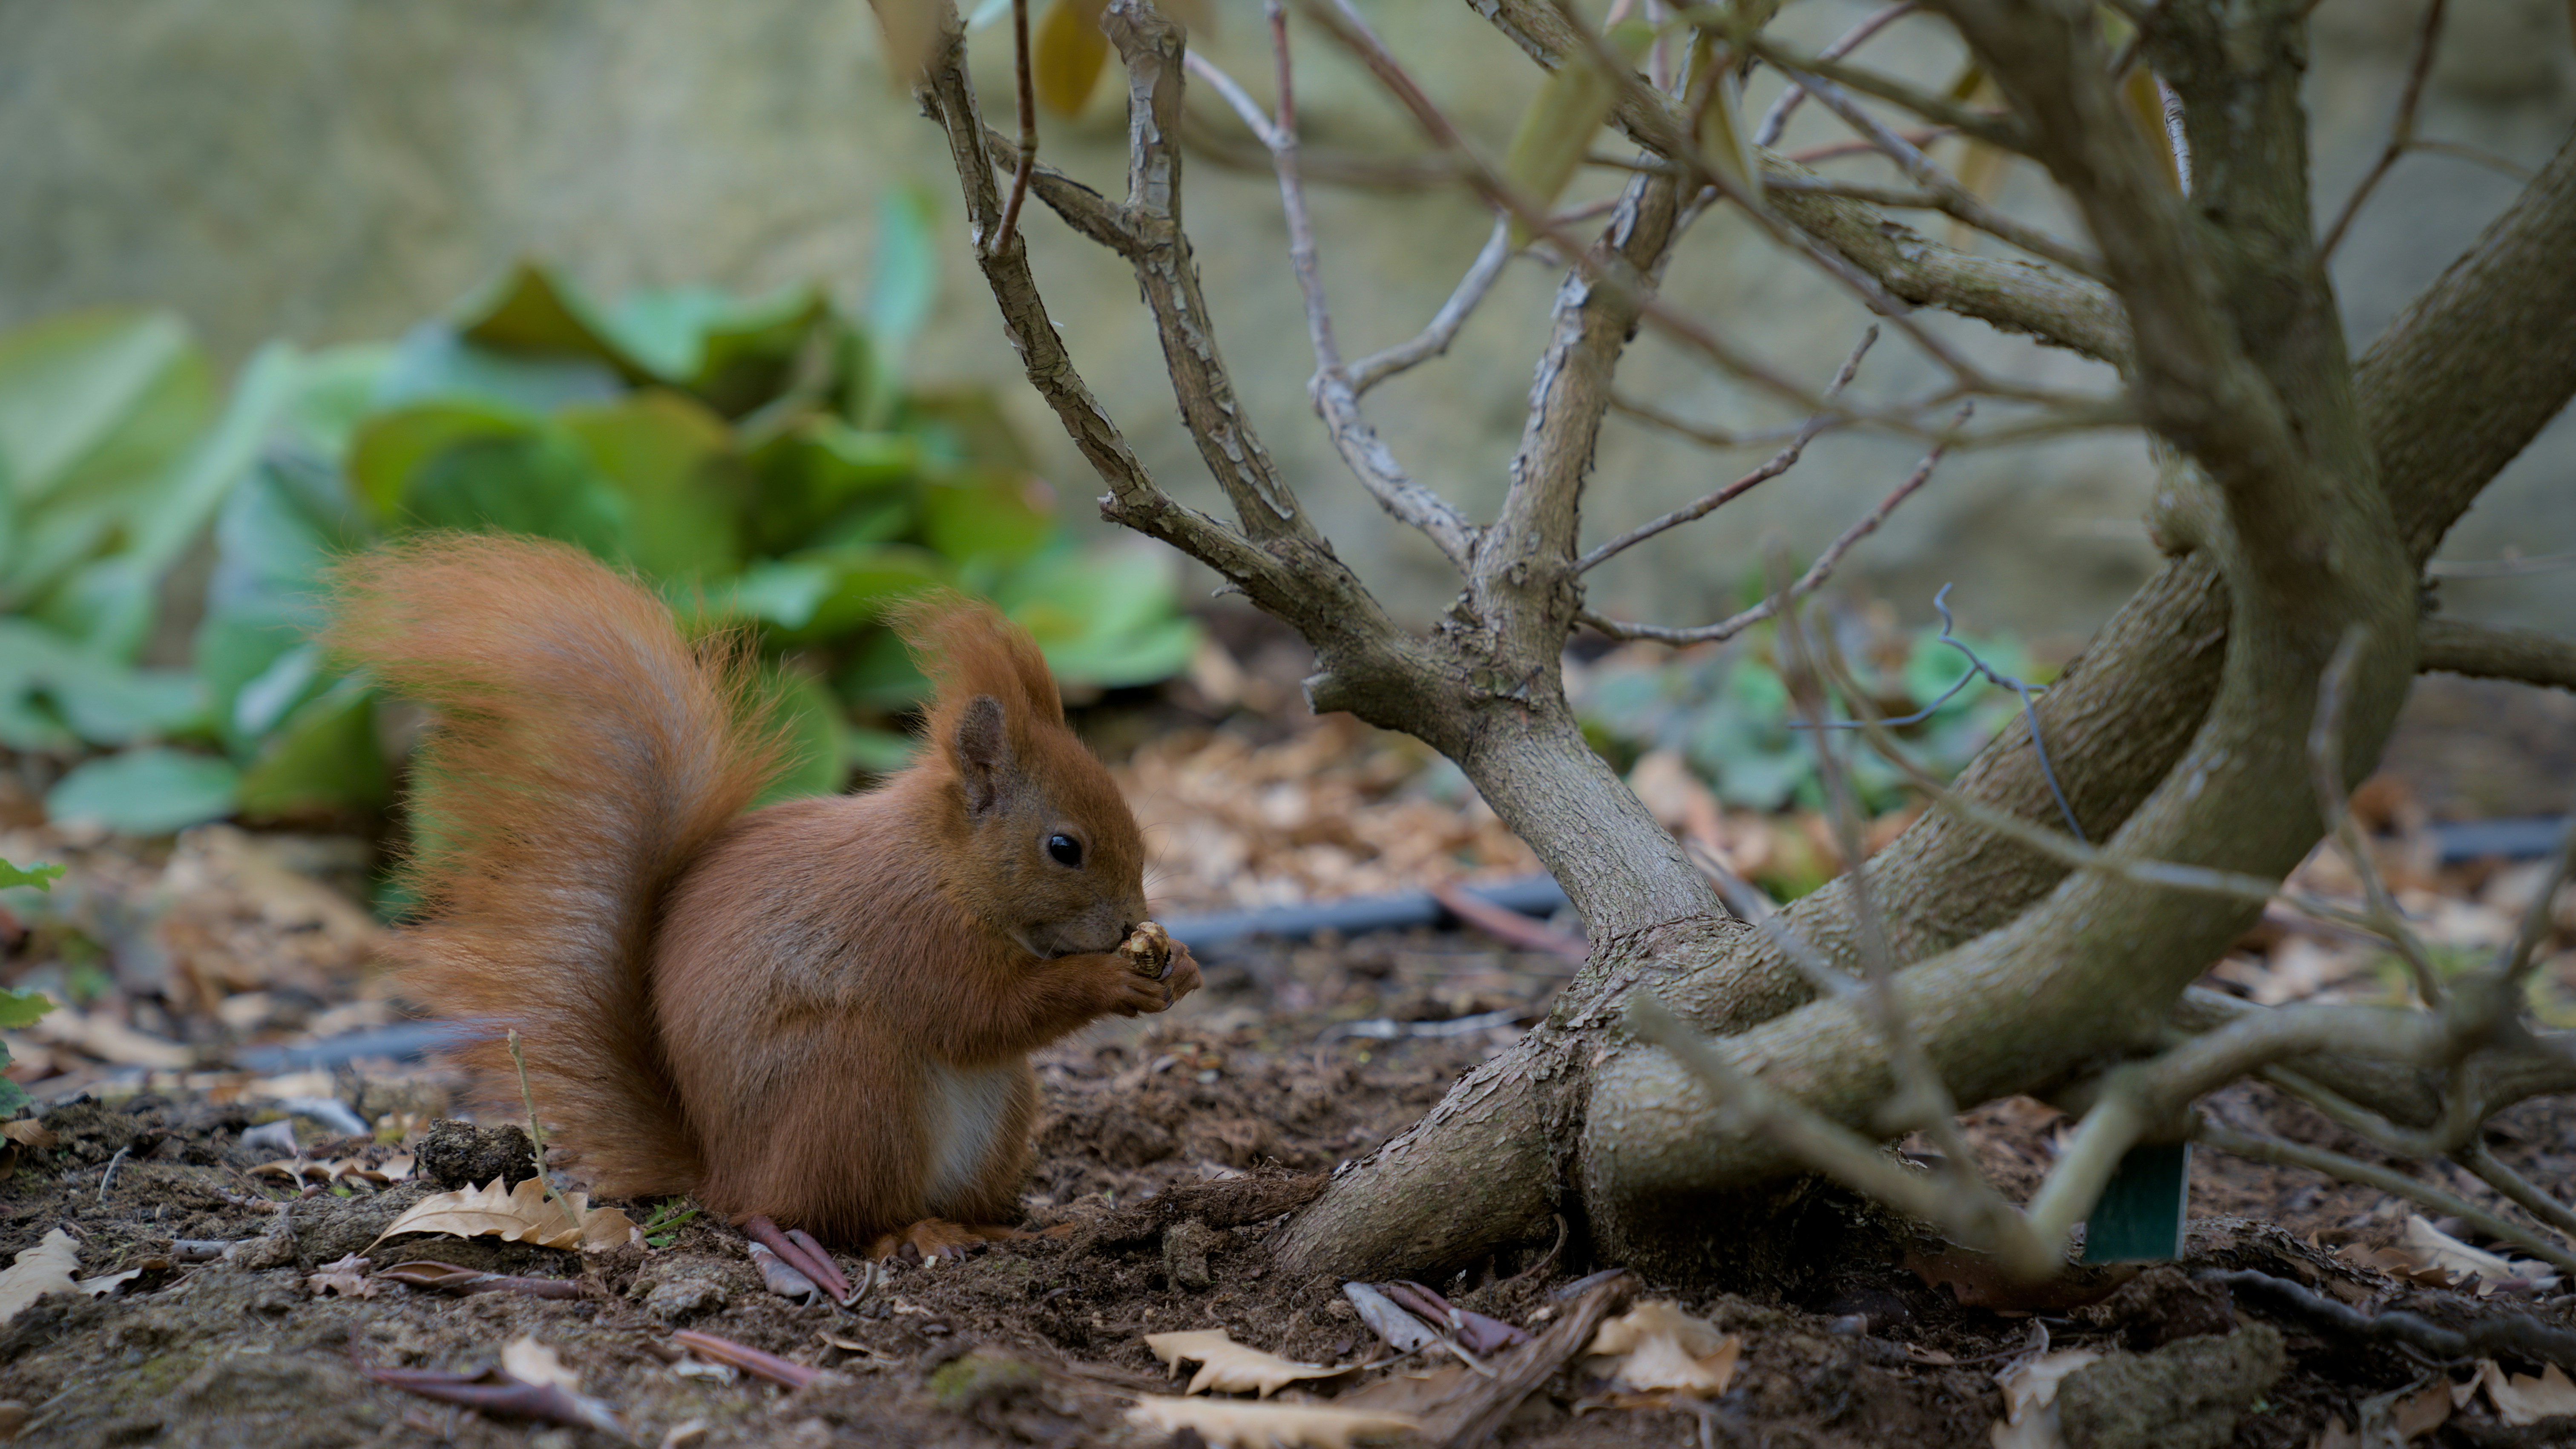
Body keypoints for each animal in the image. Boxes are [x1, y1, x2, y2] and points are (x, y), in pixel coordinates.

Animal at [328, 532, 1200, 1275]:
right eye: (1064, 847)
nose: (1128, 924)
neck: (948, 867)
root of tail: (723, 1169)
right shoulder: (907, 931)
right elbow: (977, 1013)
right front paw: (1111, 978)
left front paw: (1181, 966)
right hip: (848, 1083)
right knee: (819, 1214)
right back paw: (901, 1235)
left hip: (994, 1109)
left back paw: (1003, 1227)